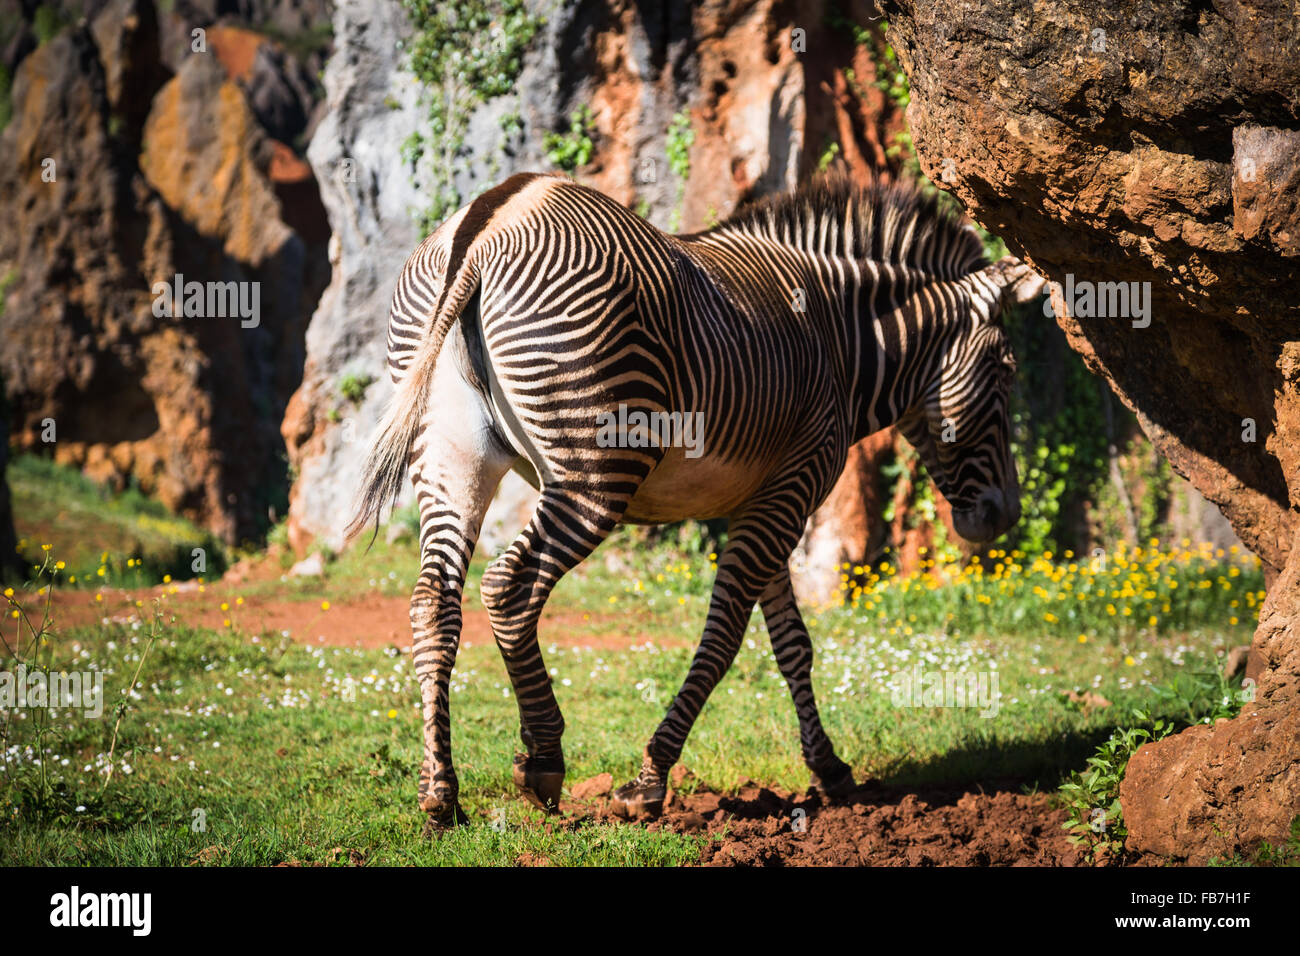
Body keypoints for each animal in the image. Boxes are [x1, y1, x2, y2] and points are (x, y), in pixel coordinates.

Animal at [348, 170, 1044, 830]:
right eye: (1008, 369)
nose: (1003, 515)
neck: (840, 340)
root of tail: (491, 221)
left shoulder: (761, 496)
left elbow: (792, 643)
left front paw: (830, 770)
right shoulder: (793, 487)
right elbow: (725, 637)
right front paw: (649, 780)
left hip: (452, 455)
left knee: (433, 600)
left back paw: (440, 794)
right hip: (596, 471)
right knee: (510, 588)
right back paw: (543, 761)